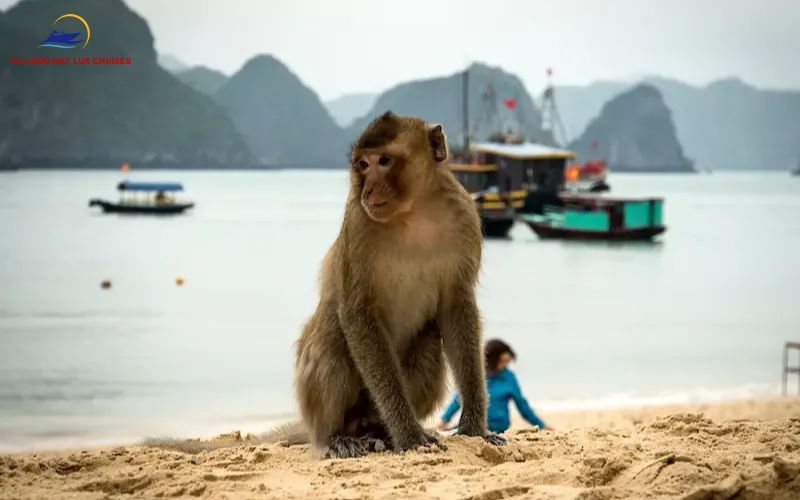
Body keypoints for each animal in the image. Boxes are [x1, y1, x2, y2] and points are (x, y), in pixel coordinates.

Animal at [294, 111, 505, 458]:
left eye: (384, 160)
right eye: (363, 164)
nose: (368, 191)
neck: (413, 211)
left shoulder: (465, 216)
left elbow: (456, 307)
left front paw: (475, 428)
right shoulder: (358, 222)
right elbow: (357, 314)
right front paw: (408, 434)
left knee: (428, 340)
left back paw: (380, 431)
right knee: (331, 329)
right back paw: (337, 436)